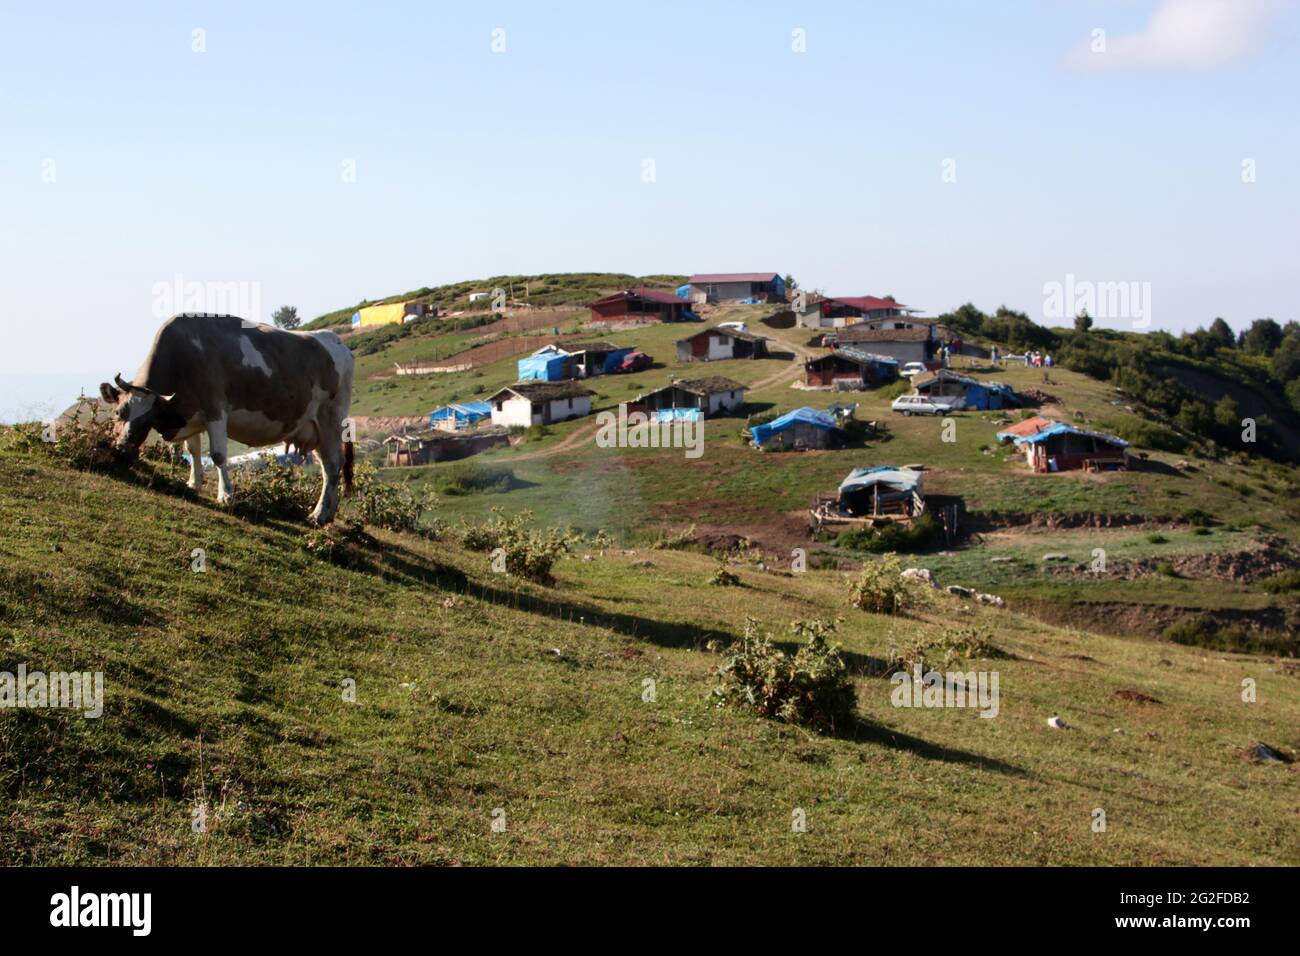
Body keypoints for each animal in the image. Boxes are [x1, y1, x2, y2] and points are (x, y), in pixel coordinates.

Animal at [100, 313, 355, 524]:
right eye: (118, 412)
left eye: (148, 420)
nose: (121, 450)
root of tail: (336, 341)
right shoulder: (190, 414)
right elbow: (192, 449)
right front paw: (194, 483)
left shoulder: (215, 408)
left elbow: (218, 455)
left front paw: (226, 495)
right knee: (330, 466)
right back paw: (330, 512)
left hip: (330, 420)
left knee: (332, 465)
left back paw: (319, 514)